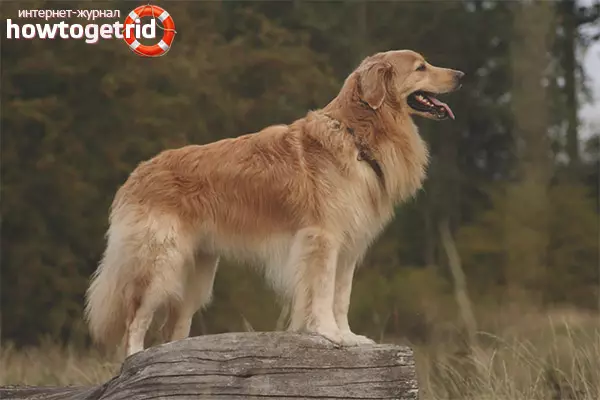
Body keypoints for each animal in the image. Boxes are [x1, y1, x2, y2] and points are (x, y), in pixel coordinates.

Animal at [84, 48, 464, 354]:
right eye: (420, 67)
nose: (461, 75)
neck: (357, 134)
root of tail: (136, 174)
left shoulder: (348, 246)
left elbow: (341, 297)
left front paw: (348, 336)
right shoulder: (322, 240)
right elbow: (322, 292)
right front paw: (329, 333)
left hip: (197, 276)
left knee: (171, 328)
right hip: (161, 263)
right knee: (135, 320)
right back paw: (134, 360)